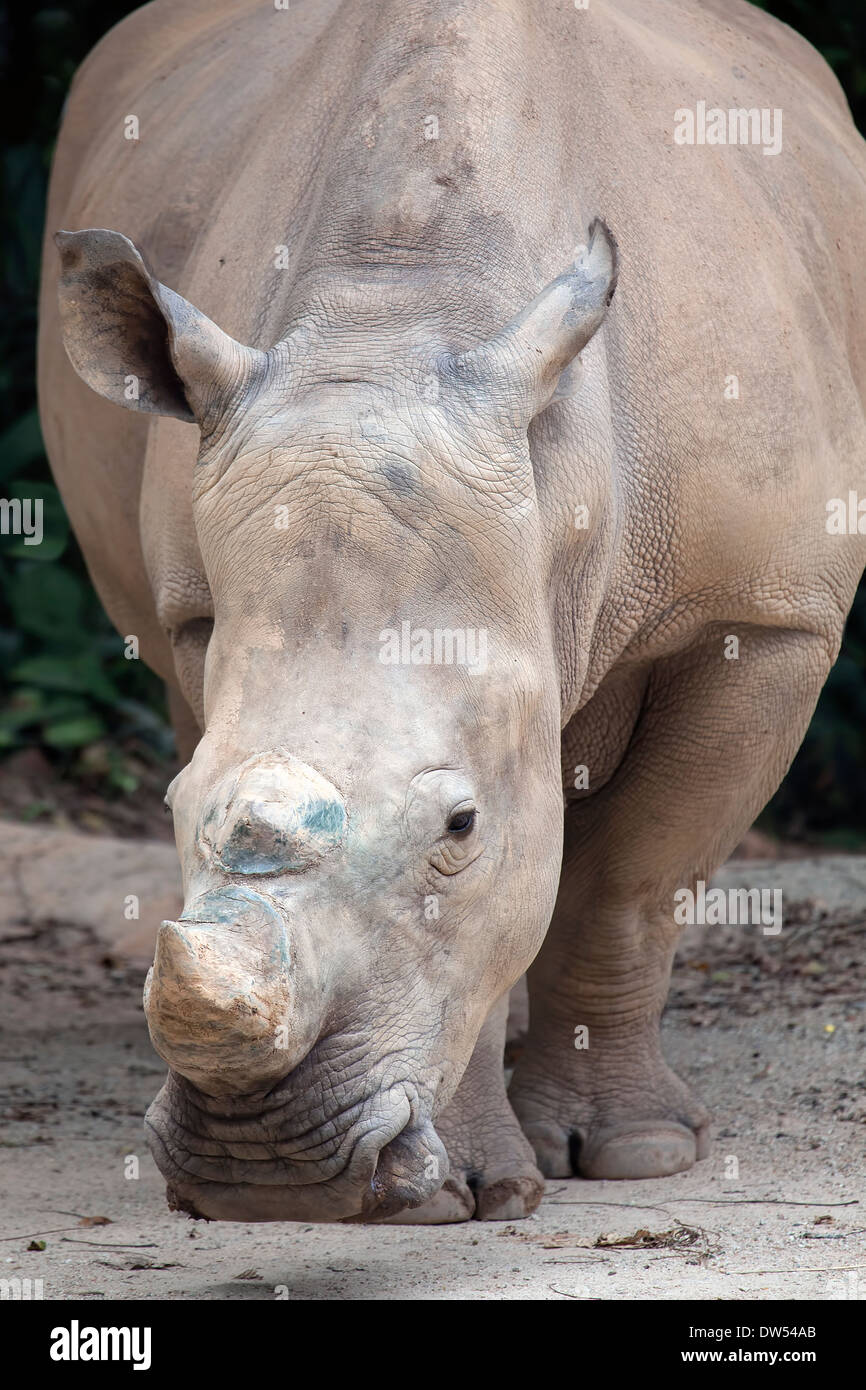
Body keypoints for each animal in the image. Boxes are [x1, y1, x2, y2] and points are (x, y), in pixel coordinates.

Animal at [38, 0, 866, 1224]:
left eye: (460, 826)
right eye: (176, 805)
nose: (261, 1169)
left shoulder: (763, 615)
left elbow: (627, 878)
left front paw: (634, 1154)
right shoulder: (202, 608)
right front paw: (459, 1189)